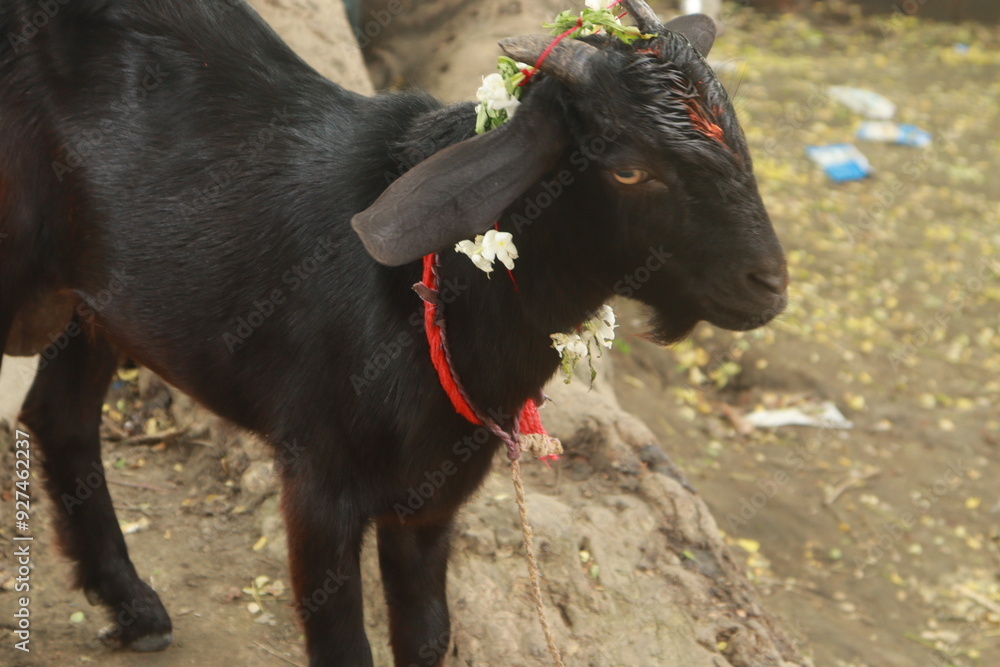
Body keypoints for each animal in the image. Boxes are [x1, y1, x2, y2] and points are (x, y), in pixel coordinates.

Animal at [0, 0, 788, 664]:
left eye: (739, 140)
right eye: (630, 170)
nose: (770, 284)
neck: (432, 295)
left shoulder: (432, 495)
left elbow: (429, 634)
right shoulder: (317, 478)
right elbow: (343, 645)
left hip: (89, 308)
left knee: (59, 415)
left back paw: (133, 607)